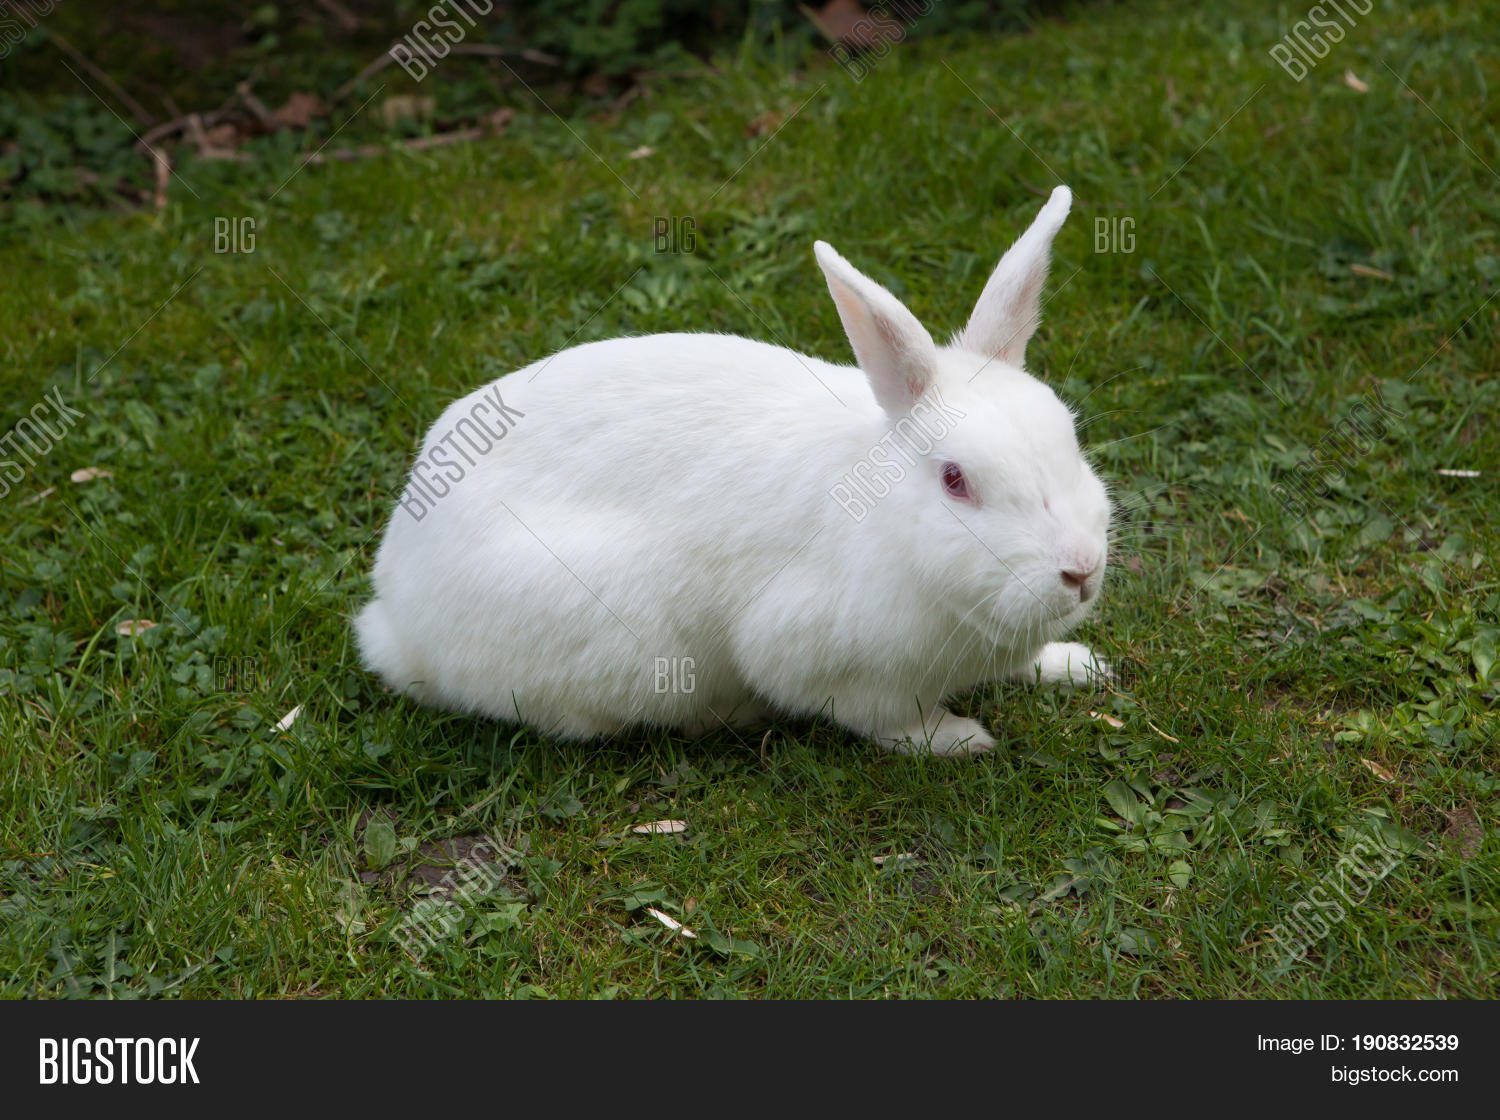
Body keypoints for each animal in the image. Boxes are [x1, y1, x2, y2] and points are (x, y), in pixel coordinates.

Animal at [356, 185, 1111, 756]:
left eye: (1070, 438)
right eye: (955, 480)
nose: (1080, 570)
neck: (890, 531)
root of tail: (394, 609)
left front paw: (1077, 666)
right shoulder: (822, 659)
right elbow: (886, 718)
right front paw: (959, 739)